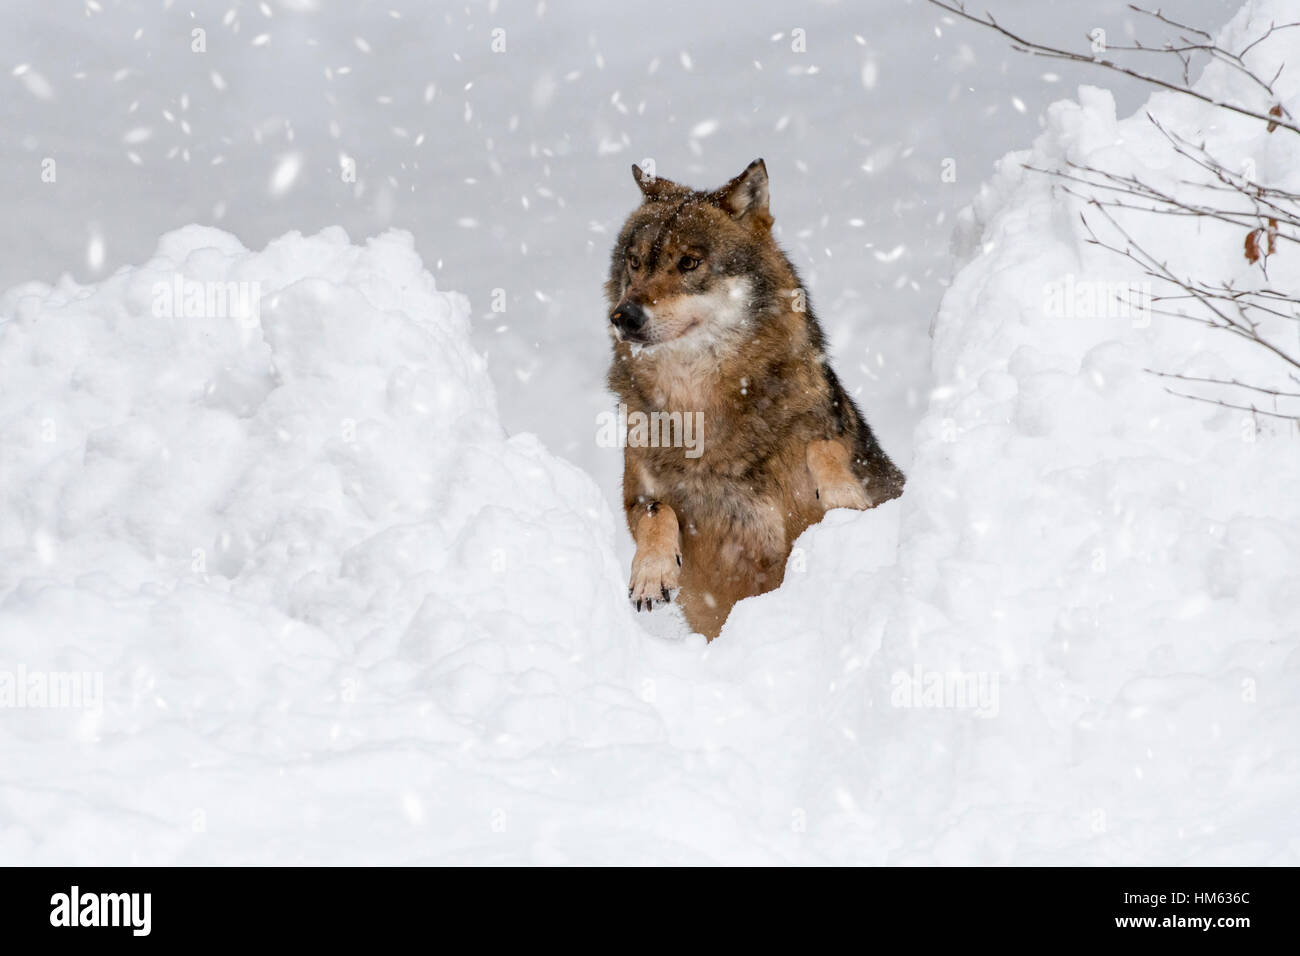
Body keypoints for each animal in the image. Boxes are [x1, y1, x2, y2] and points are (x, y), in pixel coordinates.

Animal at [606, 158, 904, 639]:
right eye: (635, 262)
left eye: (689, 262)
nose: (624, 316)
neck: (701, 405)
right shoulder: (636, 492)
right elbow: (656, 512)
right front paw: (651, 574)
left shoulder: (825, 430)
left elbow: (825, 448)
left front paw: (843, 495)